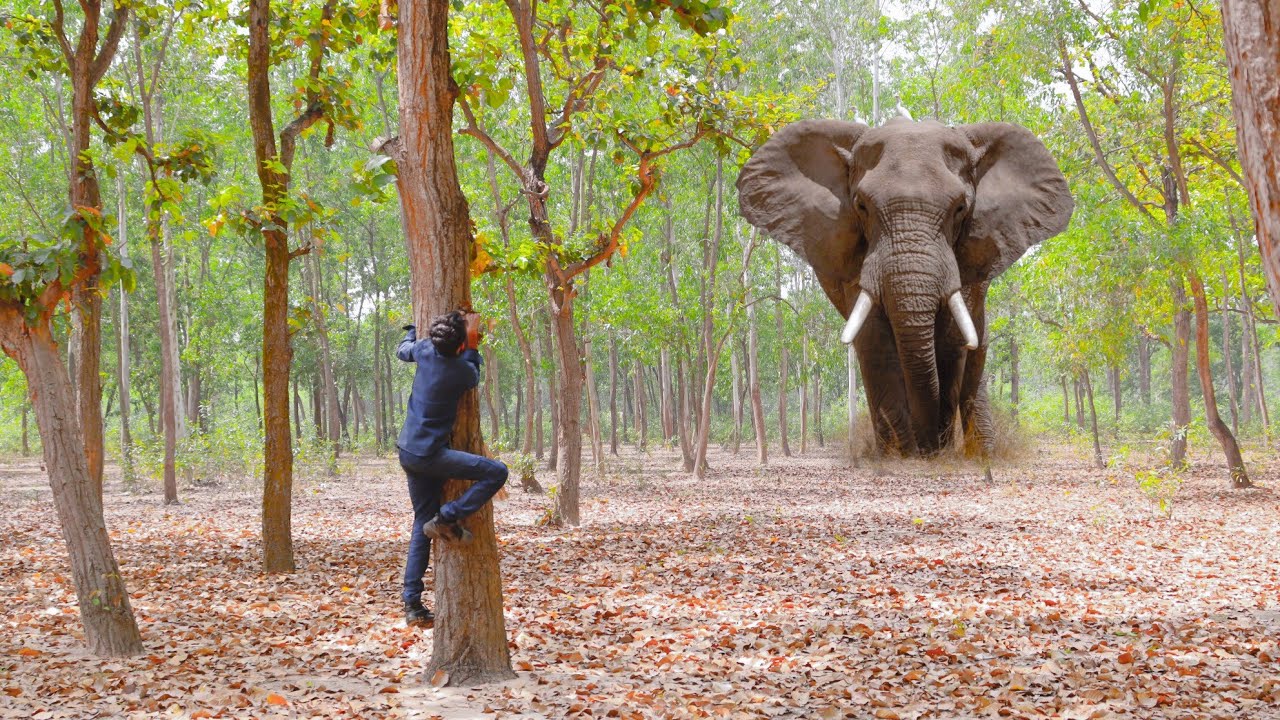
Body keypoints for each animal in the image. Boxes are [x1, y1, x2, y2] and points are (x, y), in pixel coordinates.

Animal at [737, 117, 1073, 458]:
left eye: (961, 209)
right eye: (861, 206)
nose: (929, 447)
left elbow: (952, 339)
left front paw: (935, 453)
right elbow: (875, 341)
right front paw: (901, 457)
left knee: (976, 347)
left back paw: (982, 455)